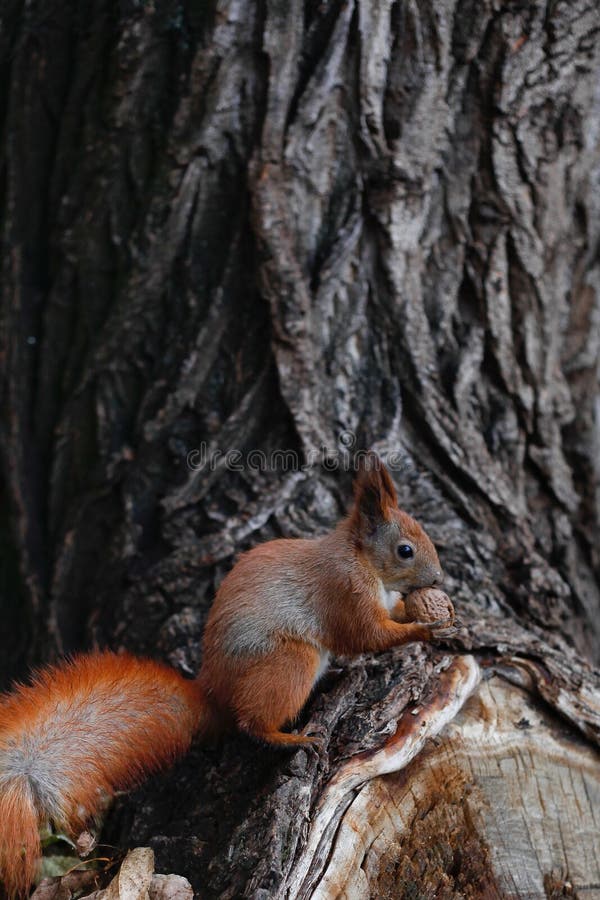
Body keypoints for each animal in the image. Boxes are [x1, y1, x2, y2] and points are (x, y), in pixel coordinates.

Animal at [0, 453, 451, 896]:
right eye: (405, 550)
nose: (438, 579)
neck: (361, 558)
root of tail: (213, 694)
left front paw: (431, 611)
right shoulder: (345, 590)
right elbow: (367, 636)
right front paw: (428, 628)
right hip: (291, 662)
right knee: (252, 723)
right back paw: (295, 739)